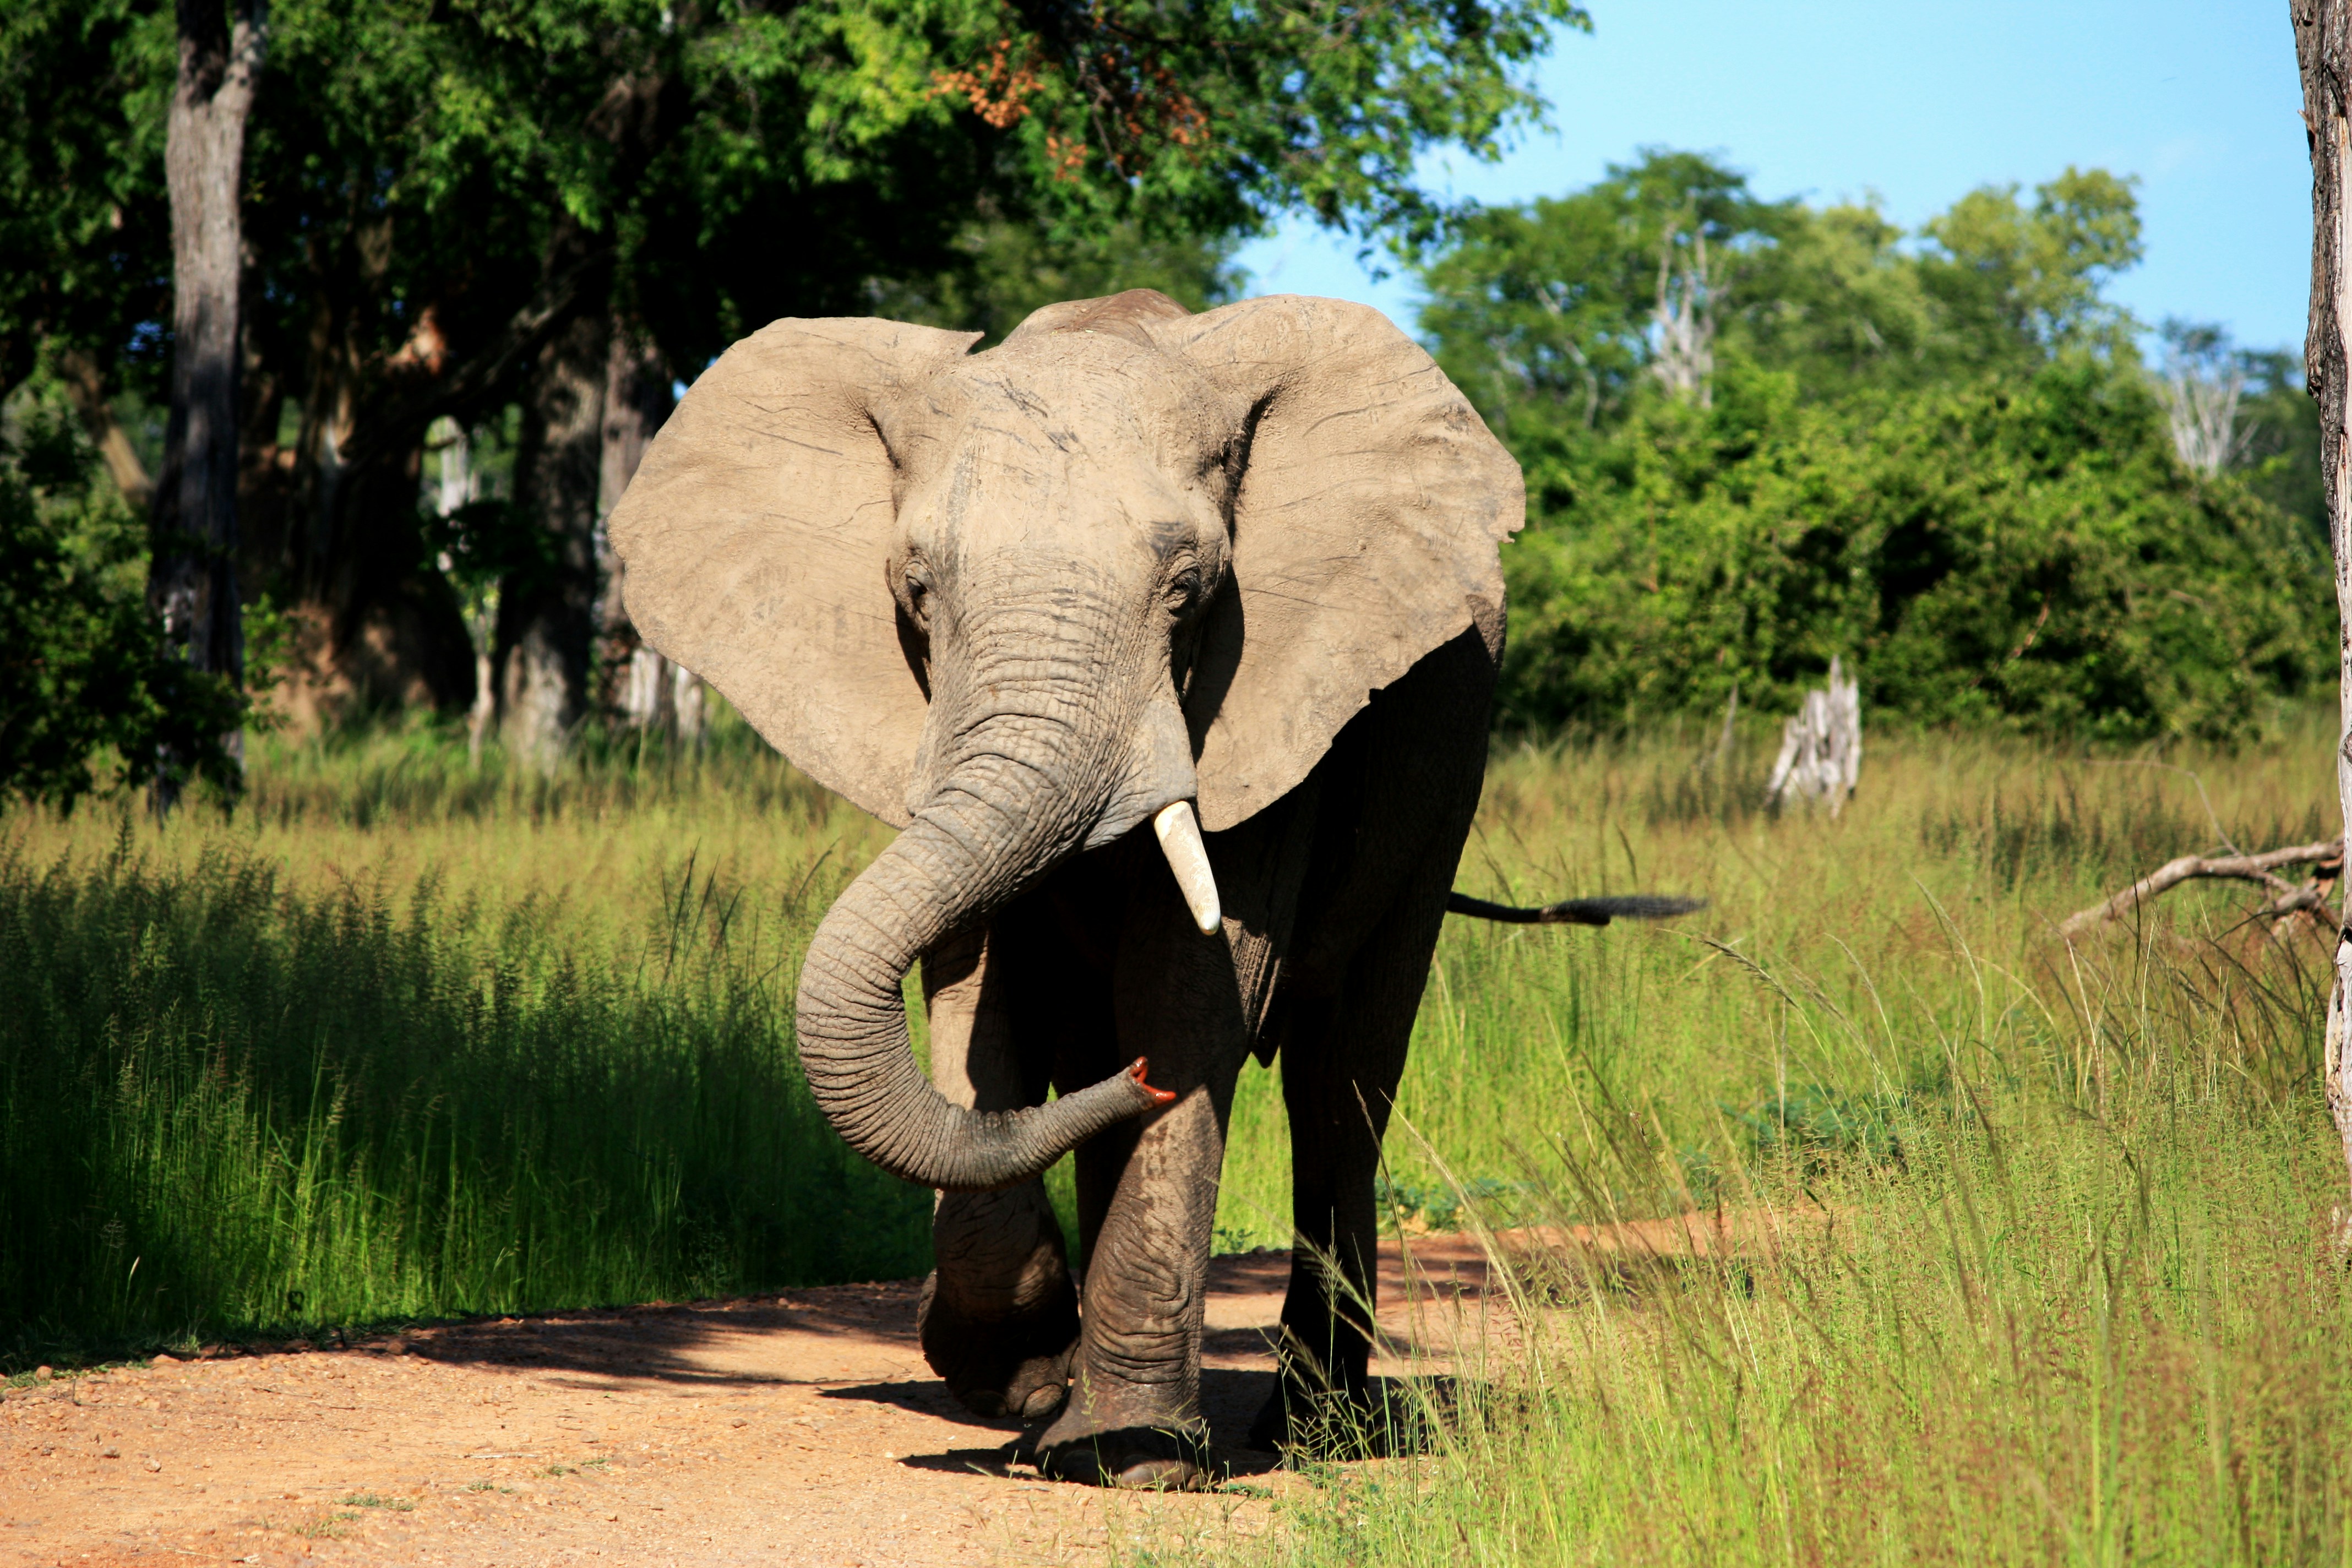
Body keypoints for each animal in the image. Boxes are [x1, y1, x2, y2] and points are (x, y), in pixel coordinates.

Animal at [607, 287, 1685, 1489]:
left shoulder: (1272, 698)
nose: (1139, 1084)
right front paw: (1021, 1378)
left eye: (1190, 591)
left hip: (1448, 776)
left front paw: (1130, 1454)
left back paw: (1313, 1428)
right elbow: (973, 996)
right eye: (916, 591)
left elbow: (1191, 991)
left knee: (1341, 1075)